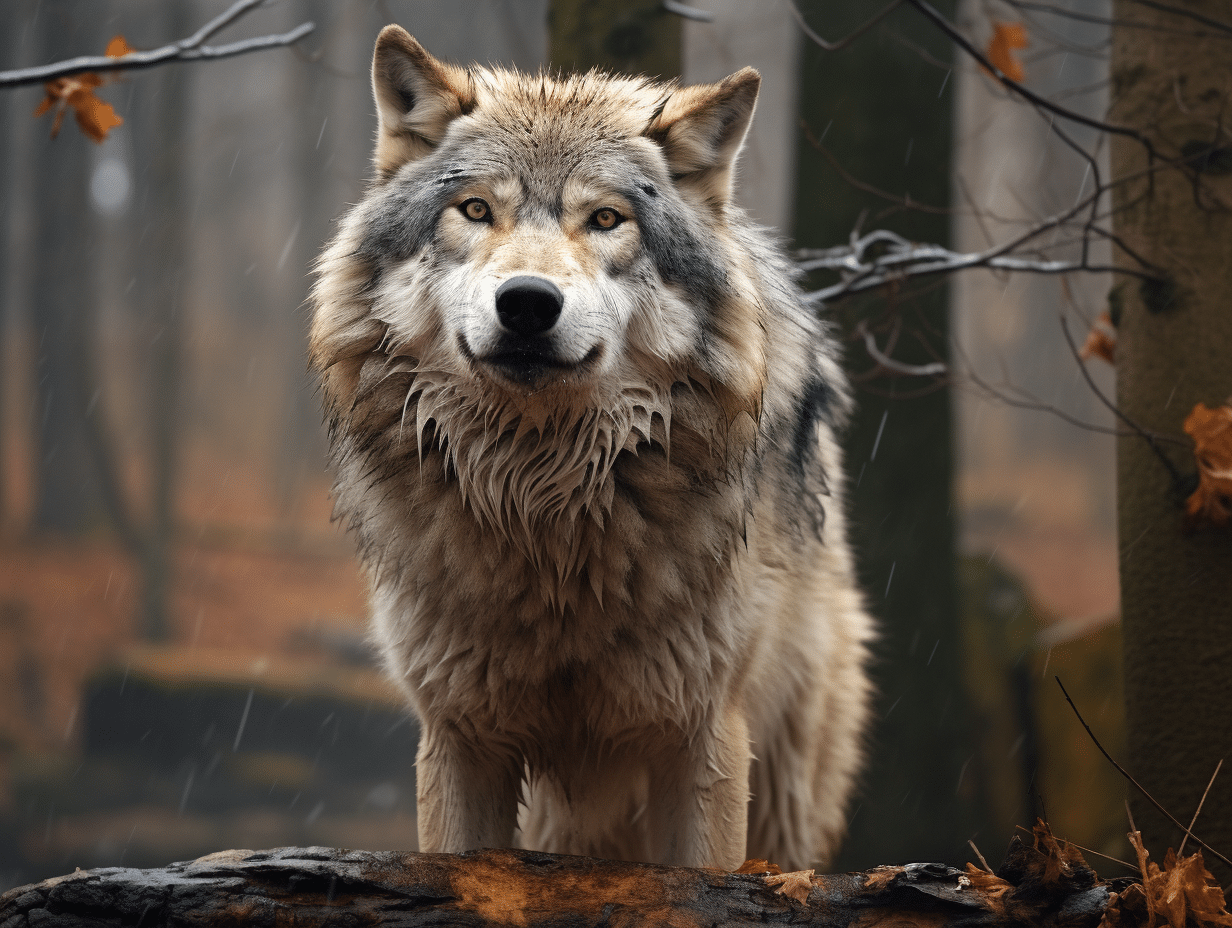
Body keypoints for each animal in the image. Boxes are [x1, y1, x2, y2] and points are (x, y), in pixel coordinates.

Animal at [310, 25, 873, 871]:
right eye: (475, 209)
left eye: (606, 220)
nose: (527, 303)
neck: (543, 510)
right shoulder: (458, 738)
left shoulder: (703, 737)